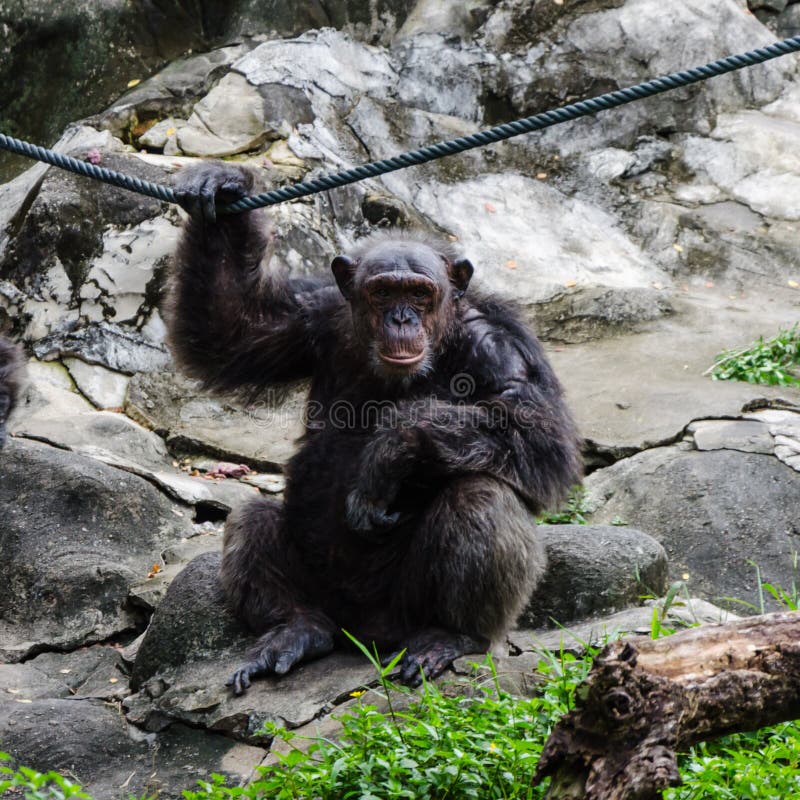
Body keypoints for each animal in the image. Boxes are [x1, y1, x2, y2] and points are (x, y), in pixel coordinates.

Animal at [167, 162, 582, 693]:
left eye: (419, 293)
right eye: (384, 291)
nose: (401, 318)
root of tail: (364, 634)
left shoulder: (498, 346)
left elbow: (539, 434)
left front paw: (391, 448)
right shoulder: (312, 313)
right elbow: (230, 330)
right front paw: (220, 185)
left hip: (405, 608)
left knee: (481, 495)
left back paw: (450, 636)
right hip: (327, 594)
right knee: (253, 515)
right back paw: (295, 629)